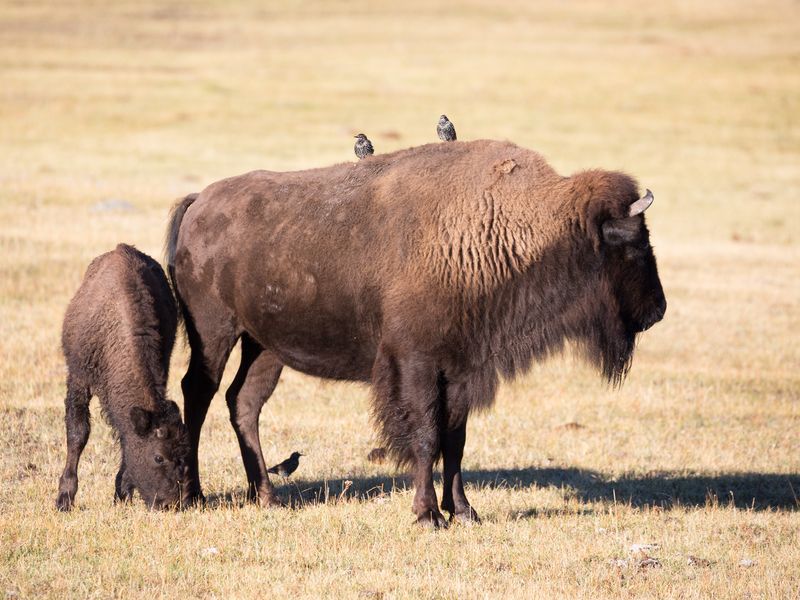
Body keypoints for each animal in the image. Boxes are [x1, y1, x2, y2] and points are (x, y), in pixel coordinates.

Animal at [57, 244, 190, 510]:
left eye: (184, 454)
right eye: (158, 457)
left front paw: (122, 493)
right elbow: (78, 433)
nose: (171, 503)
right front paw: (64, 498)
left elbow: (124, 438)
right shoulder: (79, 379)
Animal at [166, 140, 666, 527]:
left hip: (265, 347)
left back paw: (266, 496)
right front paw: (428, 515)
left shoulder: (461, 370)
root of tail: (200, 201)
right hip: (214, 332)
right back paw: (193, 494)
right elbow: (426, 435)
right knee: (198, 393)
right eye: (635, 242)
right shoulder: (416, 364)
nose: (658, 310)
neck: (500, 225)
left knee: (243, 402)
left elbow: (455, 440)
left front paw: (464, 511)